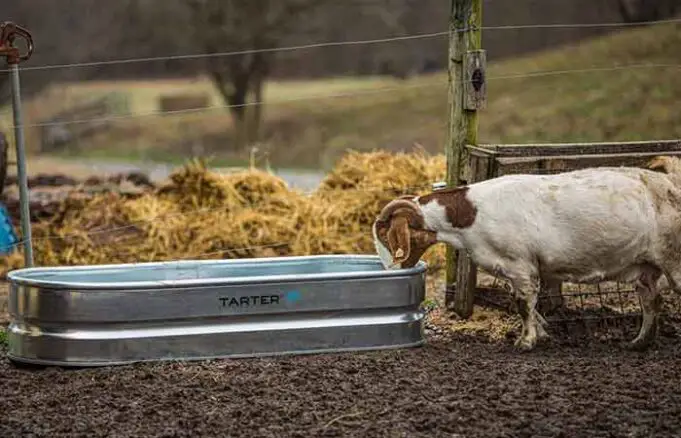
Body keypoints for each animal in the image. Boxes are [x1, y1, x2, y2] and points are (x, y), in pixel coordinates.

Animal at [372, 157, 681, 351]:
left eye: (386, 238)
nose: (389, 270)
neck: (470, 219)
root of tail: (669, 181)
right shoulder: (513, 269)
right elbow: (522, 304)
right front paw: (542, 332)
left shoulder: (520, 265)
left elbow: (523, 304)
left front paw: (525, 342)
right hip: (646, 268)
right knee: (652, 301)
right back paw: (638, 343)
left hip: (673, 259)